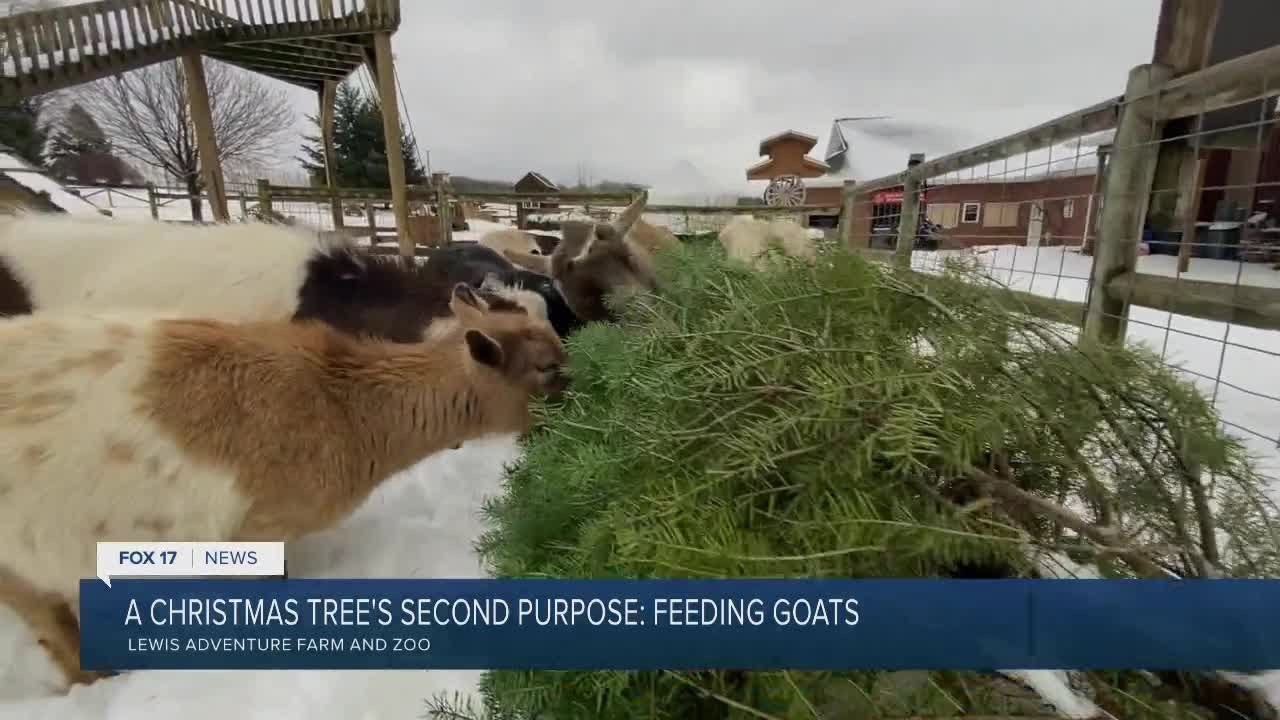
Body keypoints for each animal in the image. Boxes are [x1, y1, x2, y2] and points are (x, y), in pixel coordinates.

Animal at [0, 283, 566, 692]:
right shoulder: (255, 532)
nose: (581, 385)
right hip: (21, 561)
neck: (345, 409)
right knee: (58, 636)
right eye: (546, 368)